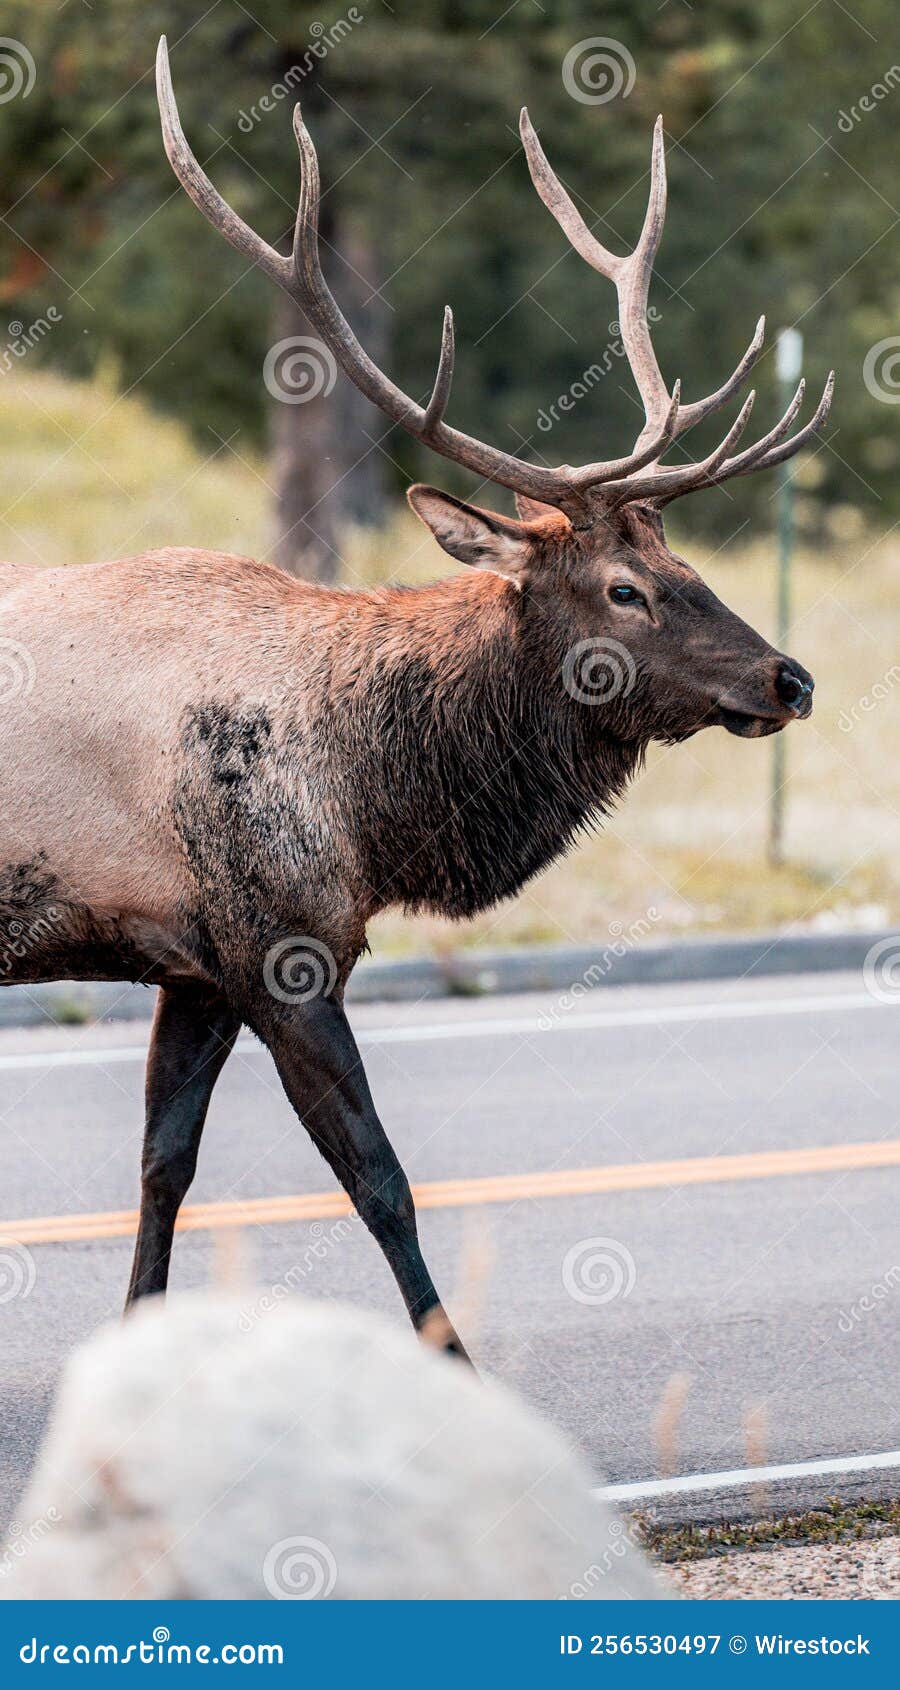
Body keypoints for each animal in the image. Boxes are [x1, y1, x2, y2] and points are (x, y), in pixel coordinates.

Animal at [0, 37, 831, 1362]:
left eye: (687, 561)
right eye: (627, 587)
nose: (788, 677)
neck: (373, 798)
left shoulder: (196, 963)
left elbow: (163, 1167)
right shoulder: (285, 945)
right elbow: (379, 1176)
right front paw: (462, 1364)